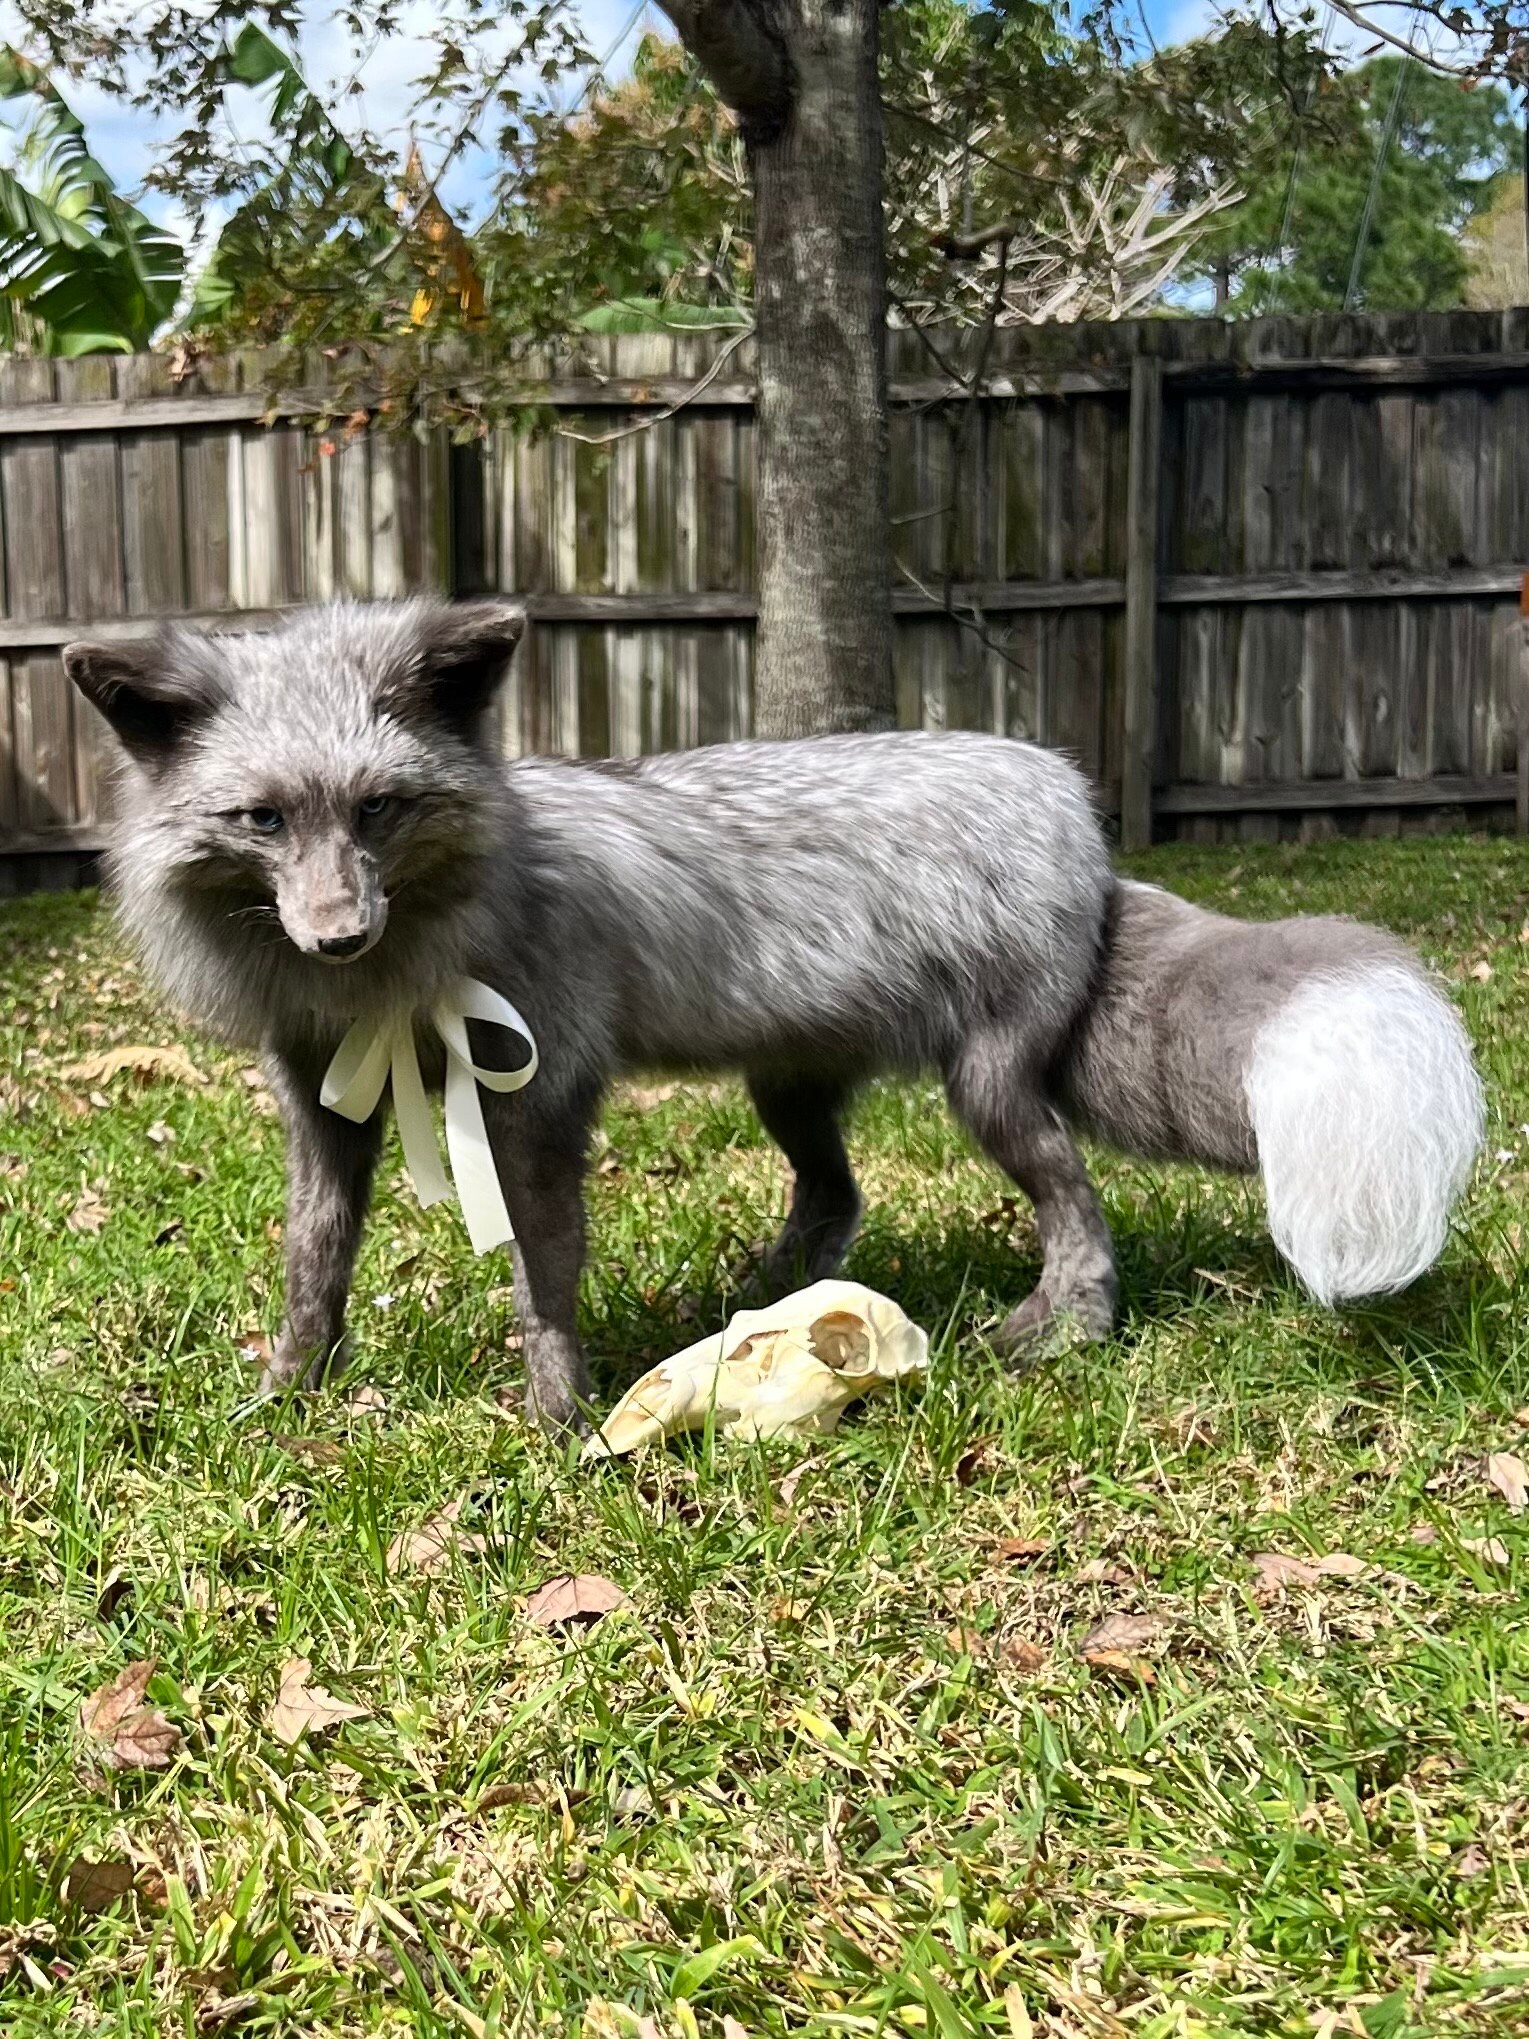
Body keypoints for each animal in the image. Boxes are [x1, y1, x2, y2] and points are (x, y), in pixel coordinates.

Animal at [64, 598, 1484, 1431]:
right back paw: (771, 1294)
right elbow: (312, 1269)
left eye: (379, 808)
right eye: (262, 819)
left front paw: (556, 1426)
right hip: (786, 1090)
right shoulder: (323, 1103)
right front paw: (282, 1401)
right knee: (836, 1195)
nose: (336, 933)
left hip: (990, 1089)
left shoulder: (538, 1101)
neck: (395, 971)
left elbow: (543, 1281)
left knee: (1077, 1204)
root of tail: (1077, 813)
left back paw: (1063, 1327)